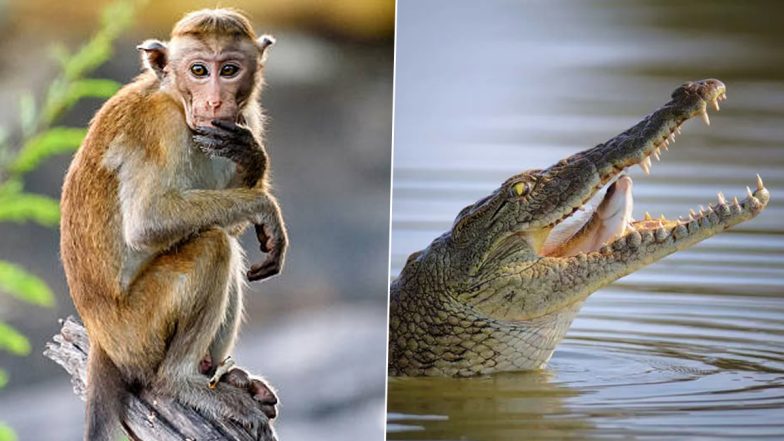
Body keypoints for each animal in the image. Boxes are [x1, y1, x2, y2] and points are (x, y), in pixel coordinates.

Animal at [59, 9, 287, 440]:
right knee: (212, 246)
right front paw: (266, 207)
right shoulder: (159, 127)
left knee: (218, 238)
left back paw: (224, 375)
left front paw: (253, 158)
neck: (177, 99)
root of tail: (100, 340)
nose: (214, 100)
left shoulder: (242, 120)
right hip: (137, 333)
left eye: (229, 70)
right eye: (198, 70)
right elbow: (148, 223)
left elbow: (231, 222)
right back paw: (181, 381)